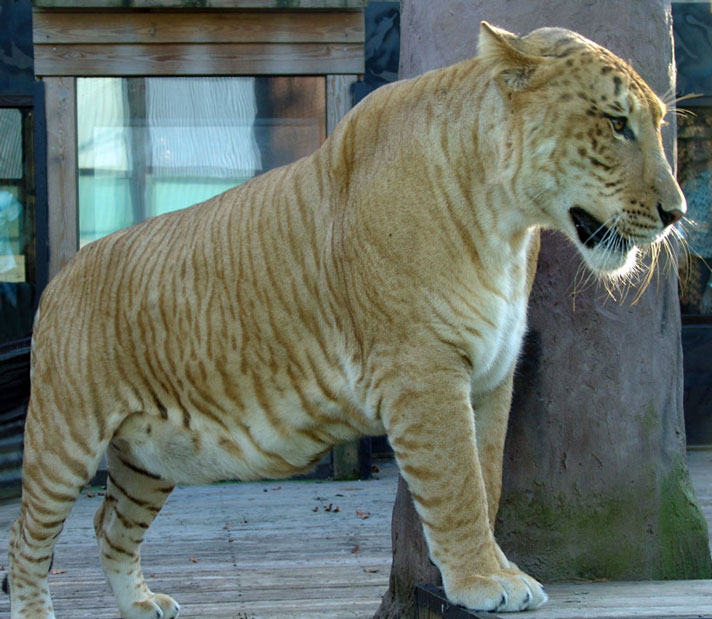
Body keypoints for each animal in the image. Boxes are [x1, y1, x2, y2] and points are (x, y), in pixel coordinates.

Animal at [7, 21, 685, 618]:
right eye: (617, 123)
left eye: (653, 125)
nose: (676, 213)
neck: (507, 226)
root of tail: (65, 268)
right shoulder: (423, 371)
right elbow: (458, 485)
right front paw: (482, 581)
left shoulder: (493, 377)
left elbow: (488, 477)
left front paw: (497, 569)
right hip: (62, 438)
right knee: (26, 543)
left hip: (145, 458)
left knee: (109, 526)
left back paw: (141, 604)